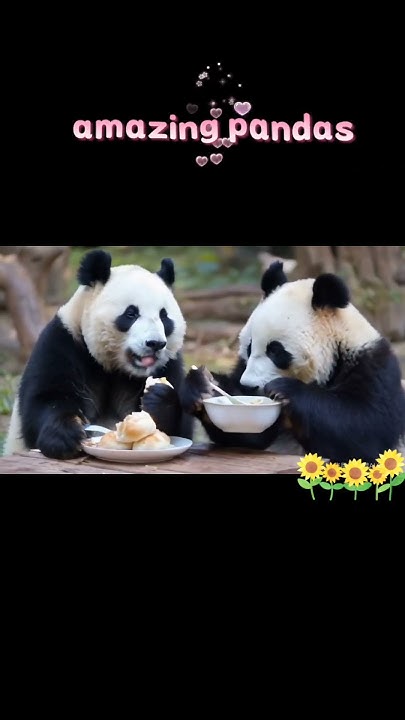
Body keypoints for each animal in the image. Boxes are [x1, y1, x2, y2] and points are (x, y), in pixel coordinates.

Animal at [4, 249, 193, 459]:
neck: (113, 366)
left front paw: (159, 398)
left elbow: (180, 428)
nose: (155, 344)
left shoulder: (169, 363)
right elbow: (44, 400)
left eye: (164, 316)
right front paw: (65, 436)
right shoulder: (63, 343)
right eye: (131, 313)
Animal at [181, 261, 405, 464]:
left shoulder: (373, 368)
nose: (248, 386)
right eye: (250, 347)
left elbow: (364, 429)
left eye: (275, 350)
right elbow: (251, 435)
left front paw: (286, 390)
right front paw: (204, 385)